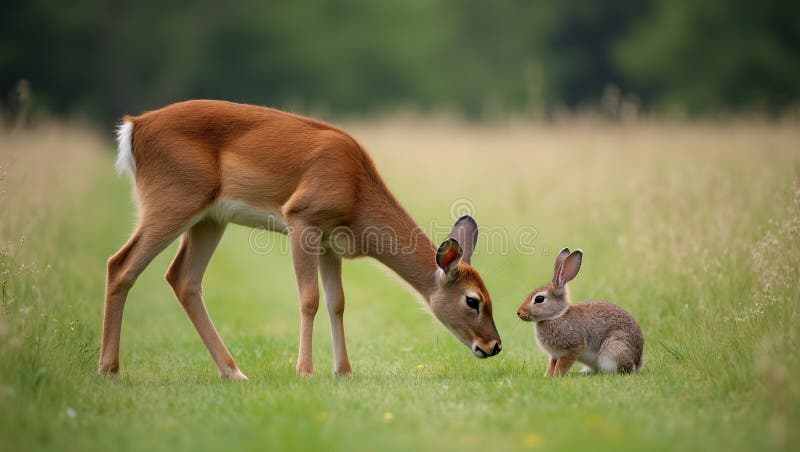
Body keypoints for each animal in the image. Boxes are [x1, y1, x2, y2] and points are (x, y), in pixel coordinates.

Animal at [99, 99, 502, 380]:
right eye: (473, 301)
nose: (494, 345)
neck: (356, 195)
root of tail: (134, 128)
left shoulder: (330, 243)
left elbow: (337, 302)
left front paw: (344, 371)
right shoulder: (302, 218)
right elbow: (309, 298)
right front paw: (305, 370)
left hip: (209, 217)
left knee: (183, 278)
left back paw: (234, 371)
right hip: (173, 197)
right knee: (121, 264)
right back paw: (109, 369)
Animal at [516, 248, 644, 376]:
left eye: (539, 299)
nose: (519, 312)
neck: (556, 316)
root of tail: (638, 361)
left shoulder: (574, 347)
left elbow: (562, 365)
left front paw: (557, 376)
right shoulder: (555, 355)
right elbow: (552, 365)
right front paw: (547, 376)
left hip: (614, 349)